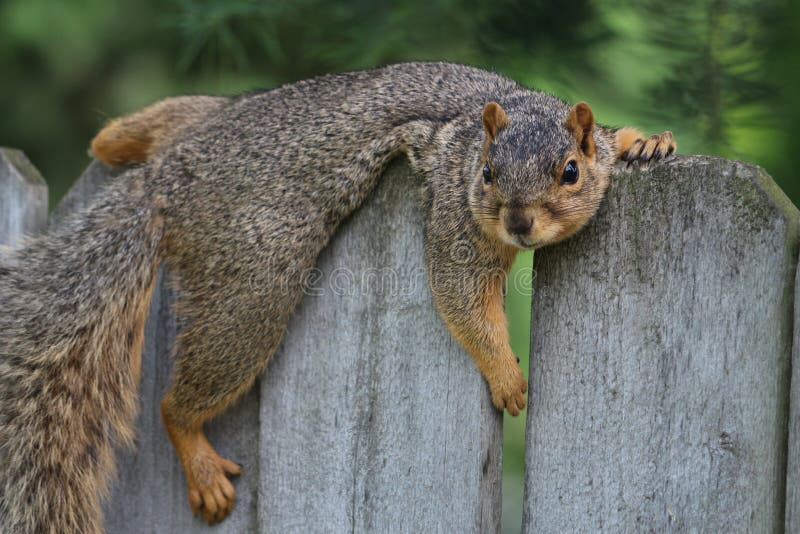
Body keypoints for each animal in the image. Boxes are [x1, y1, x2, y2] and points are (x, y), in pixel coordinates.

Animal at [0, 61, 675, 532]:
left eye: (570, 171)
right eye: (486, 174)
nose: (518, 224)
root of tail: (167, 181)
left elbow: (611, 139)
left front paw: (648, 142)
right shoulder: (454, 214)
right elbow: (460, 294)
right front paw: (505, 374)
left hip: (200, 120)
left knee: (129, 131)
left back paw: (112, 144)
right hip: (256, 284)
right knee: (181, 400)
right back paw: (196, 450)